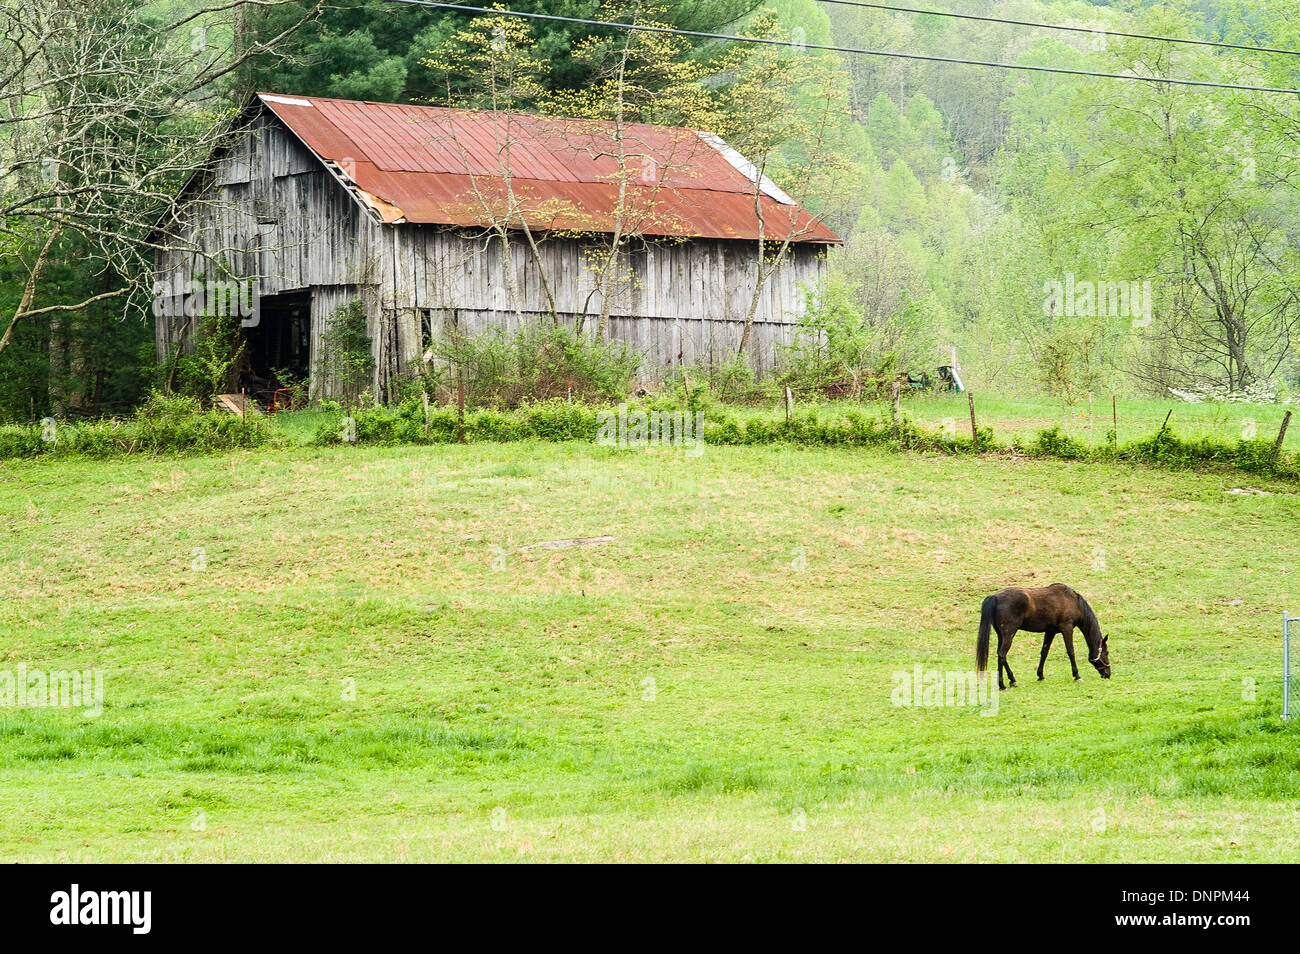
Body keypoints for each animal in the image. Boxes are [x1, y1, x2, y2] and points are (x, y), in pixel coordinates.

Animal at [976, 583, 1111, 690]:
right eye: (1106, 652)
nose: (1108, 674)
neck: (1073, 602)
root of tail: (995, 597)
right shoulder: (1067, 628)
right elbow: (1071, 651)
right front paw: (1077, 676)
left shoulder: (1050, 631)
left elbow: (1044, 652)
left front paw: (1040, 676)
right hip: (1009, 634)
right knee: (1002, 655)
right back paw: (1004, 684)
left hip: (1001, 636)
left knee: (1001, 656)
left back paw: (1010, 681)